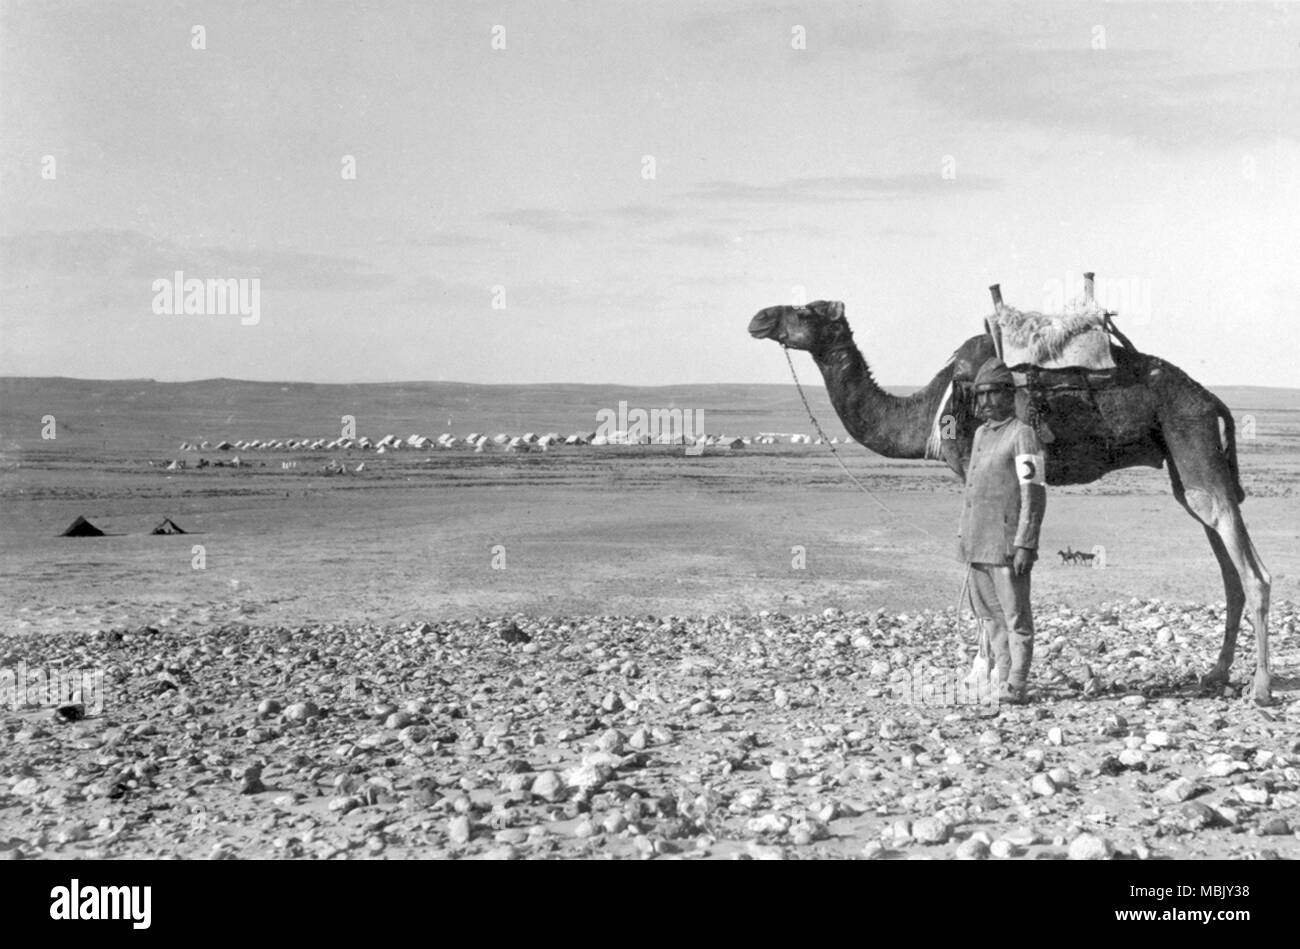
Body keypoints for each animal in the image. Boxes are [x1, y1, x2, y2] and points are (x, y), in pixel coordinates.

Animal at [748, 296, 1273, 705]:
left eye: (806, 309)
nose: (759, 317)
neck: (930, 410)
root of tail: (1212, 401)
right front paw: (984, 673)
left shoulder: (968, 468)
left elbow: (979, 576)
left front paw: (980, 674)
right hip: (1187, 469)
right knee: (1226, 563)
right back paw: (1217, 673)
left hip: (1192, 442)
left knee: (1253, 572)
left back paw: (1260, 687)